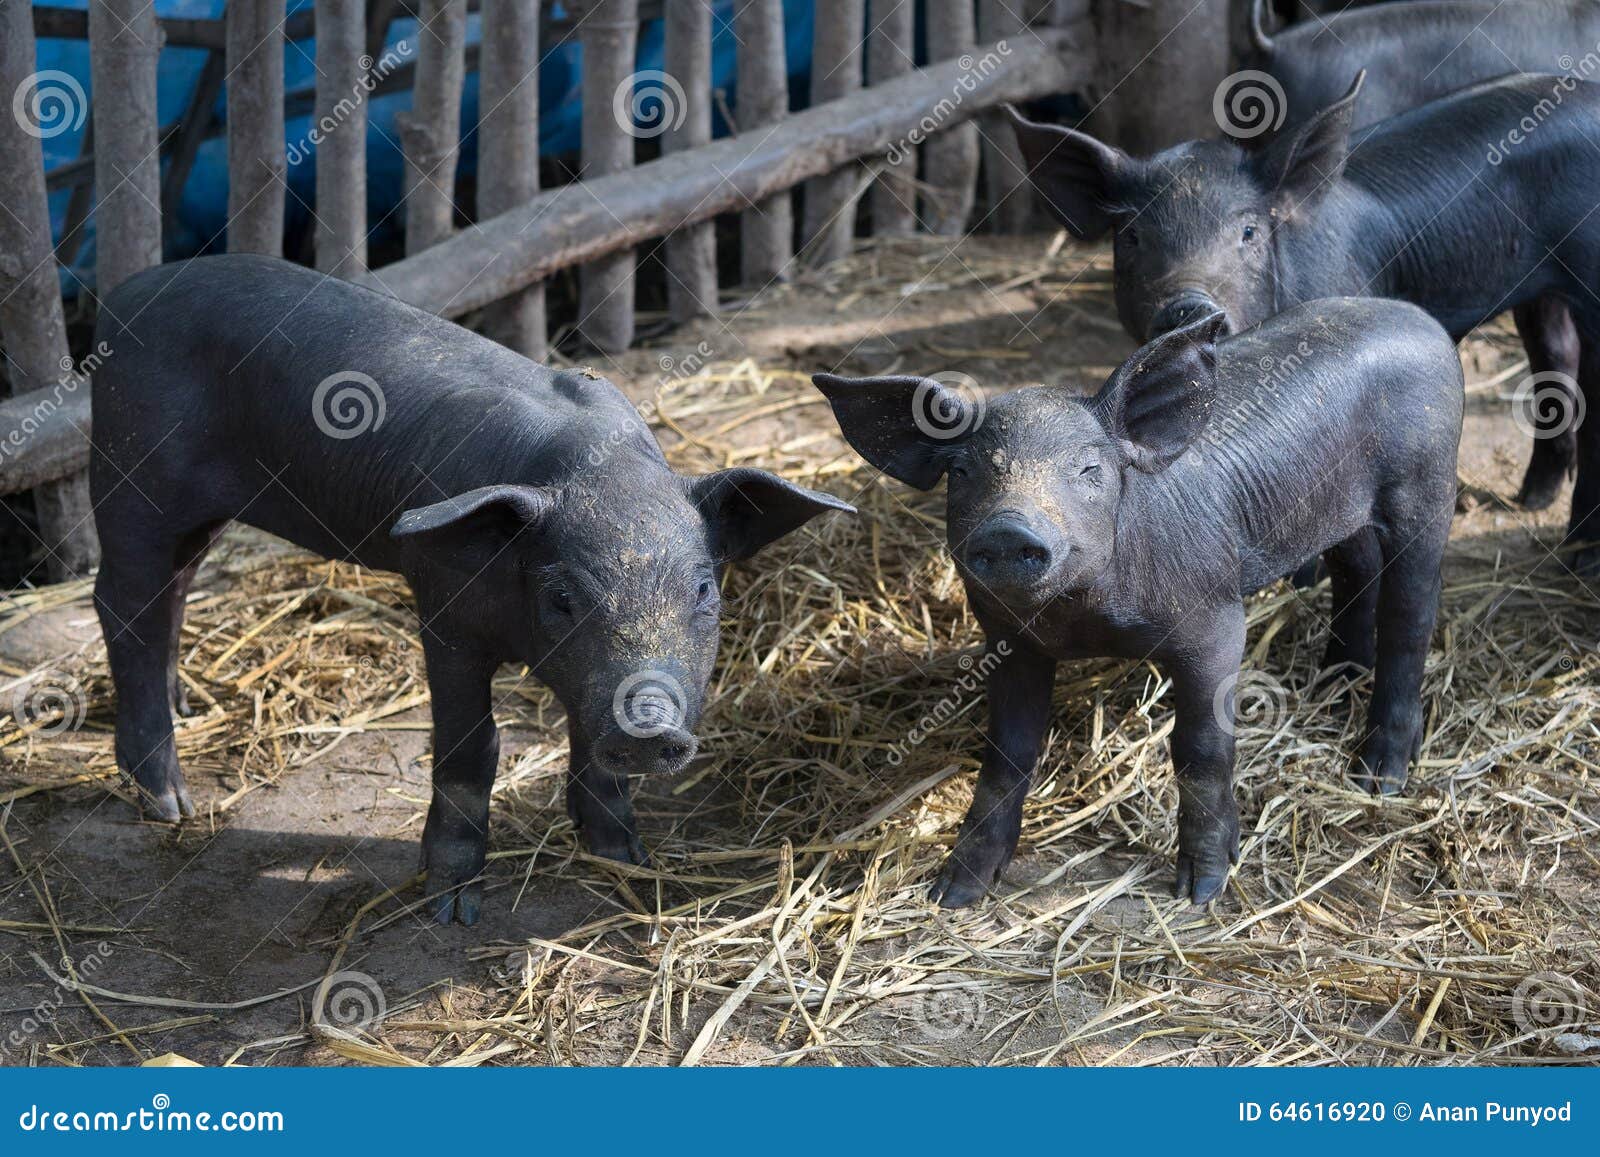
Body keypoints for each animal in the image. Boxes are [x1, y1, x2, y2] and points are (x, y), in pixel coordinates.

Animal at [90, 254, 852, 924]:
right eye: (564, 596)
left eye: (702, 589)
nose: (648, 722)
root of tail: (127, 294)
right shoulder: (444, 612)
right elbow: (472, 747)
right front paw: (453, 907)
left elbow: (586, 727)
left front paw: (624, 856)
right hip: (135, 479)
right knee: (121, 602)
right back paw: (170, 804)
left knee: (174, 590)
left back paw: (188, 709)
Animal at [815, 297, 1462, 907]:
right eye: (963, 471)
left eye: (1088, 468)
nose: (1007, 528)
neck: (1083, 617)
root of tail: (1418, 319)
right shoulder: (1007, 639)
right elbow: (1007, 753)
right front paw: (954, 892)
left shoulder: (1215, 622)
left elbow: (1201, 748)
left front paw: (1201, 890)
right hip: (1337, 511)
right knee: (1359, 568)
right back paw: (1334, 682)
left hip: (1427, 483)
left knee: (1411, 615)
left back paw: (1378, 778)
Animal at [1008, 72, 1600, 569]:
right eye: (1131, 237)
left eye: (1248, 232)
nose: (1189, 304)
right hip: (1540, 292)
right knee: (1556, 352)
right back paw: (1530, 499)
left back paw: (1577, 557)